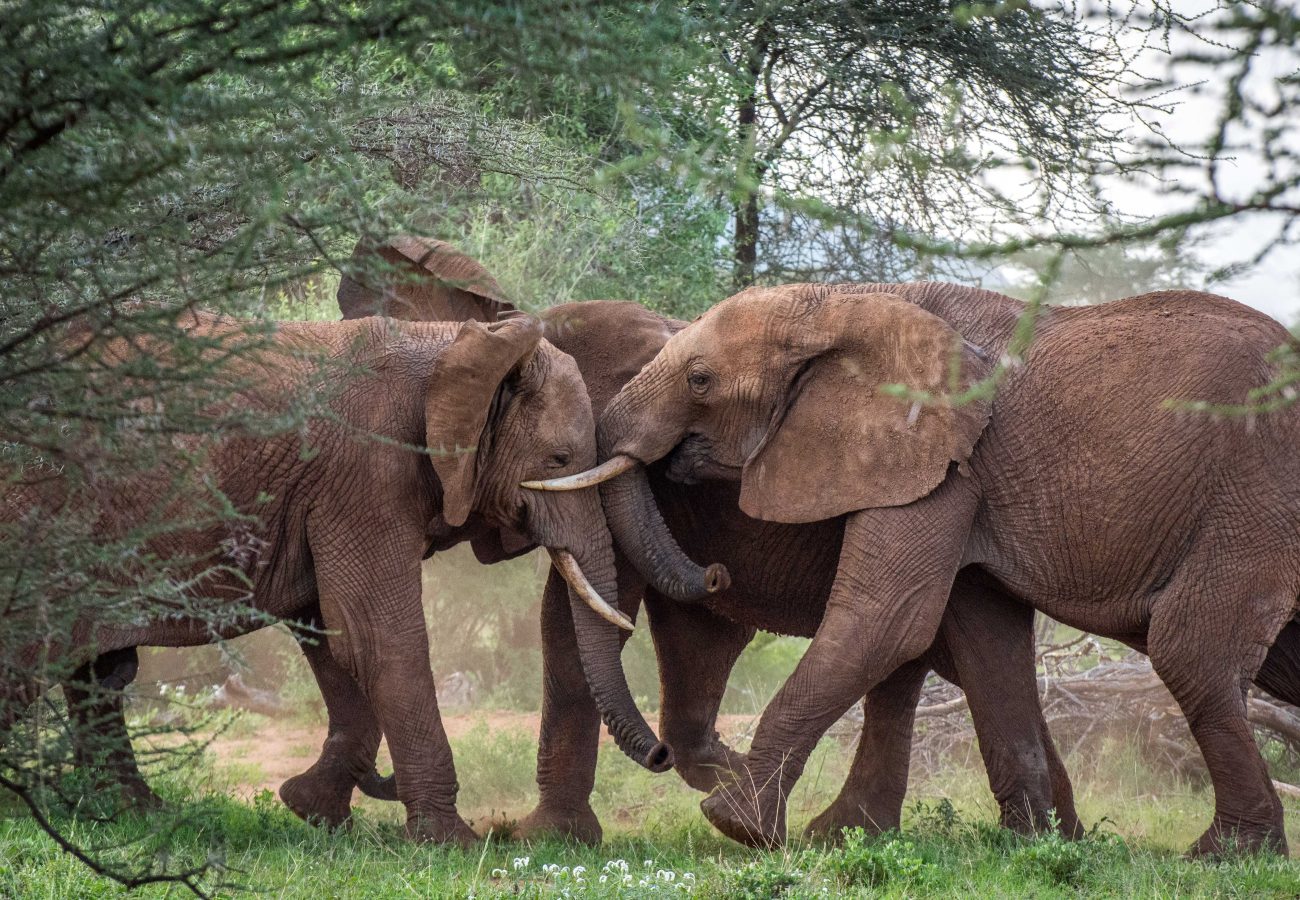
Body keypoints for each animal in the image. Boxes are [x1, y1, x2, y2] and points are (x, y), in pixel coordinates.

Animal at [3, 308, 659, 845]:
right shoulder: (368, 472)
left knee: (99, 673)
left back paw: (139, 814)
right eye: (559, 460)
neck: (460, 347)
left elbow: (332, 632)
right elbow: (376, 634)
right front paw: (451, 844)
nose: (662, 754)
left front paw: (311, 810)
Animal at [549, 282, 1300, 855]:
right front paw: (1035, 843)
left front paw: (739, 827)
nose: (715, 574)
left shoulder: (936, 461)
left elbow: (888, 619)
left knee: (1189, 650)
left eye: (700, 380)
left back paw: (1224, 855)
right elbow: (984, 642)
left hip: (1254, 499)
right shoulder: (953, 471)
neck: (846, 304)